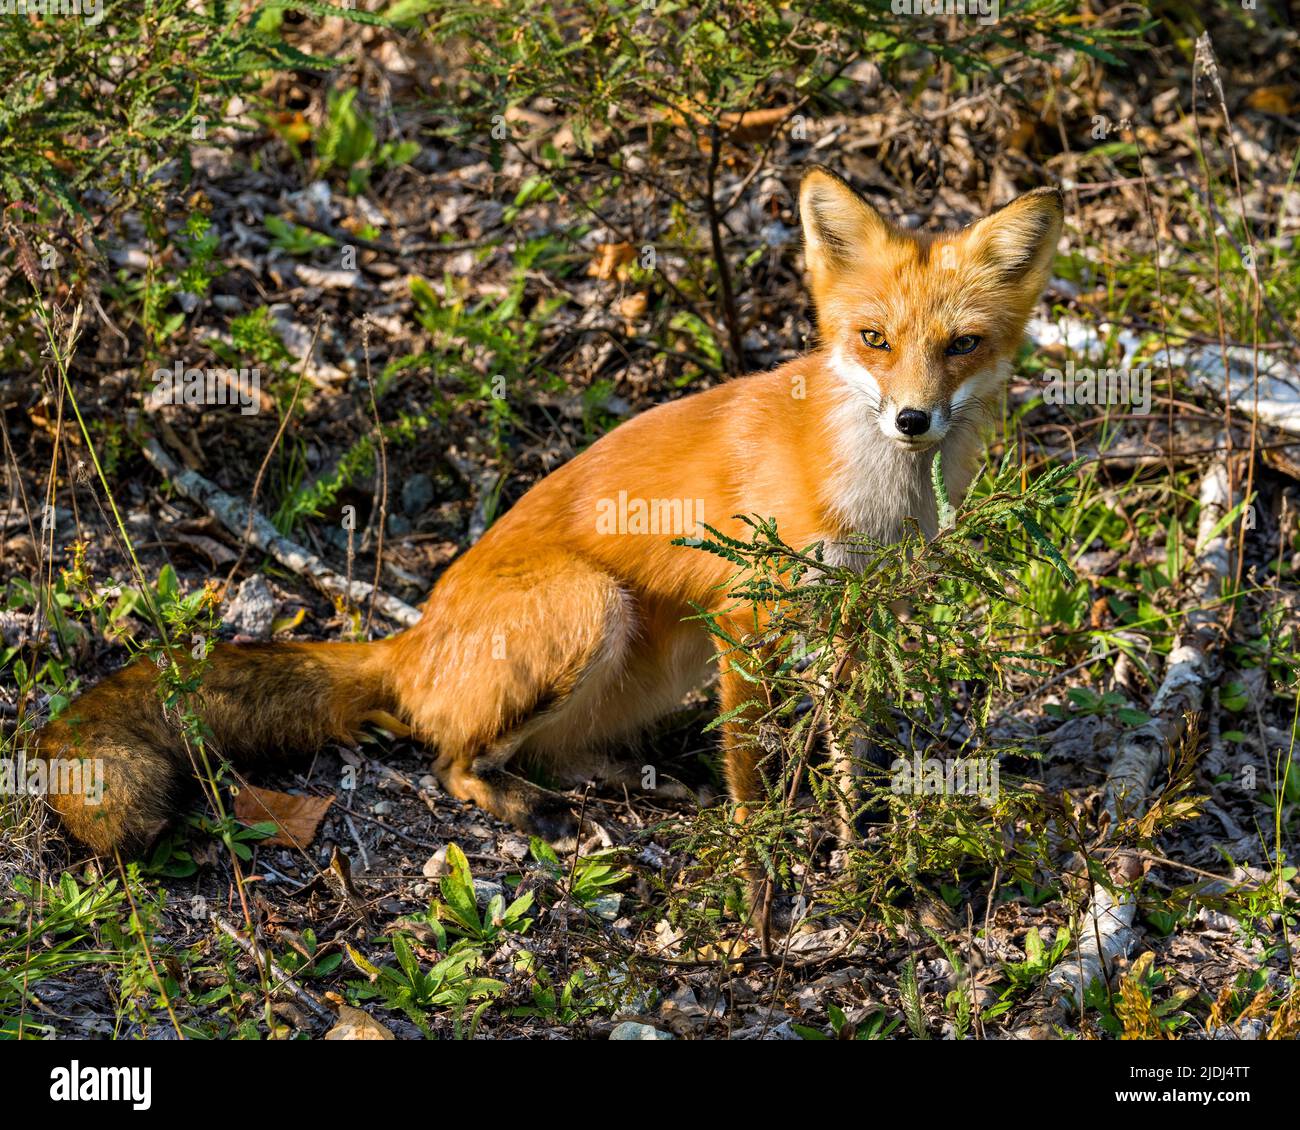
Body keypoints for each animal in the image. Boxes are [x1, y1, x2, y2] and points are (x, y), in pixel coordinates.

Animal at [32, 167, 1063, 872]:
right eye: (873, 340)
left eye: (962, 346)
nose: (913, 420)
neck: (876, 498)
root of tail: (413, 638)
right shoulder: (747, 617)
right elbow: (751, 765)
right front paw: (762, 861)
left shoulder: (863, 619)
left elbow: (851, 756)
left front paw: (856, 850)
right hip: (592, 610)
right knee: (447, 758)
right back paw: (516, 802)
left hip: (656, 652)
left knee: (550, 751)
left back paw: (609, 776)